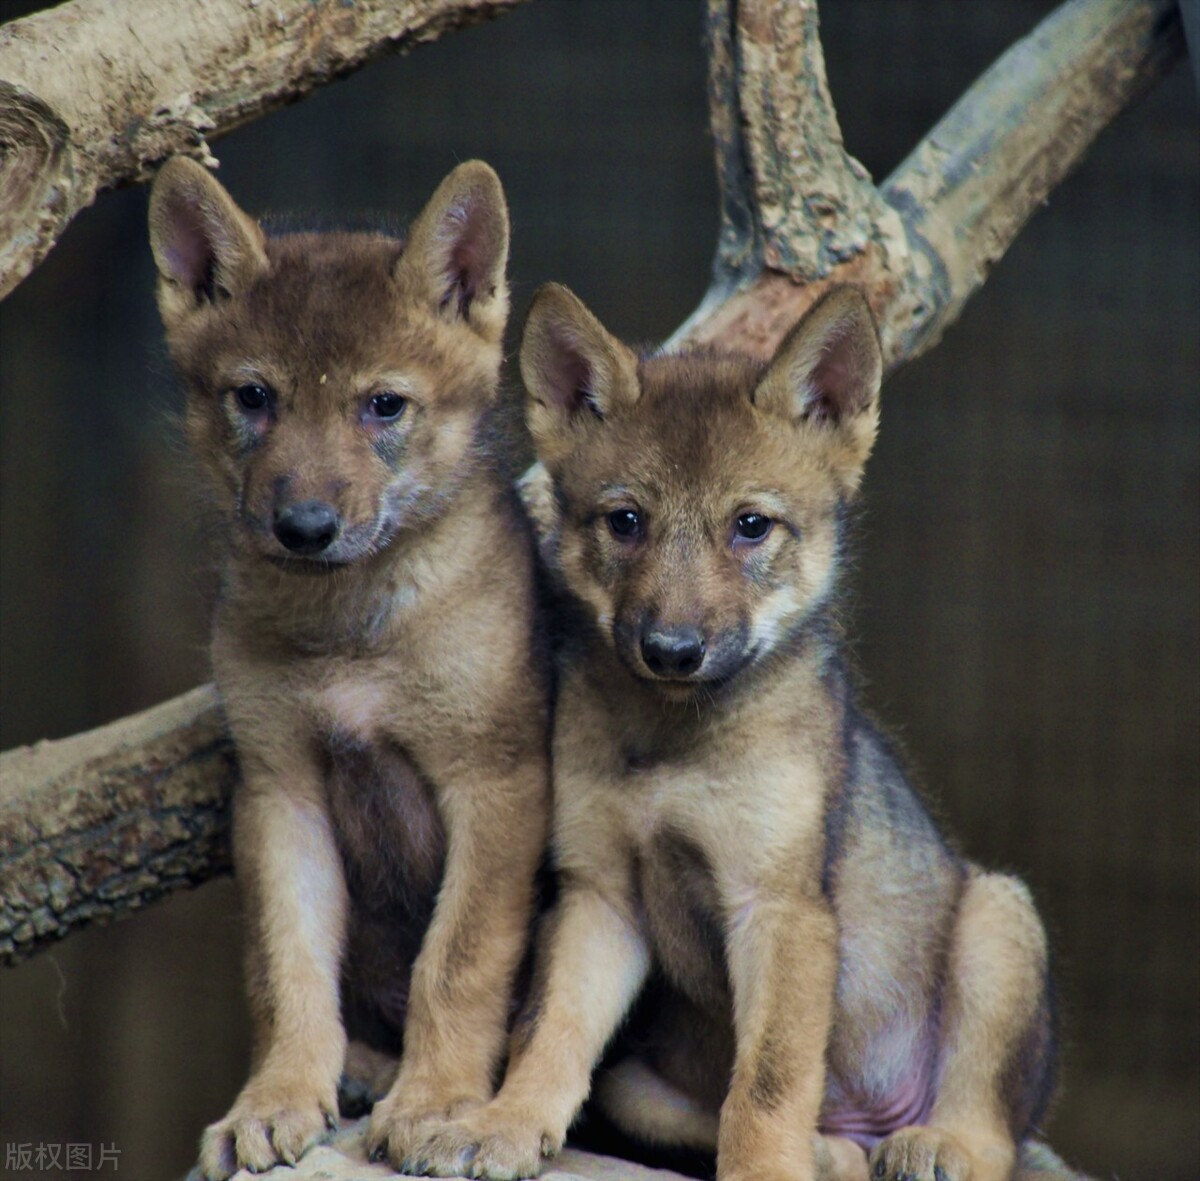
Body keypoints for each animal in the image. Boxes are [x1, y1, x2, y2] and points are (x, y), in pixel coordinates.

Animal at [148, 157, 549, 1179]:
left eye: (384, 405)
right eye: (254, 397)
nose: (304, 527)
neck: (350, 635)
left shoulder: (496, 783)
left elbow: (456, 960)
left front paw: (438, 1102)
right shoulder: (278, 787)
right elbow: (286, 972)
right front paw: (274, 1101)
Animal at [400, 284, 1087, 1181]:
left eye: (751, 526)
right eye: (625, 521)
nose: (672, 649)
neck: (671, 748)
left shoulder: (778, 905)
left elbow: (766, 1082)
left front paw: (763, 1171)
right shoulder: (600, 894)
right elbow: (548, 1037)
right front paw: (503, 1125)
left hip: (1000, 920)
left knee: (992, 1133)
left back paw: (935, 1143)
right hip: (638, 1086)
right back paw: (832, 1154)